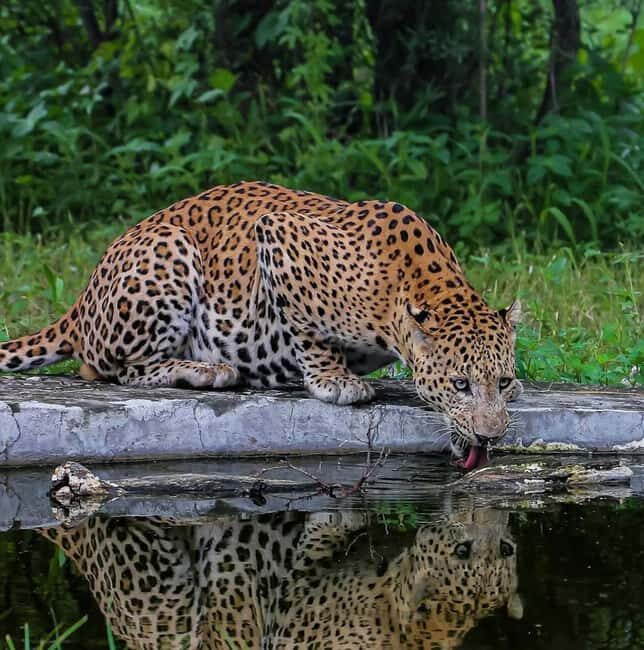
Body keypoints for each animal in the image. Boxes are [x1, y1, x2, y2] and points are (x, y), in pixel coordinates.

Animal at [0, 181, 521, 466]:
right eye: (460, 384)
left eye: (503, 381)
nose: (491, 436)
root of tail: (81, 299)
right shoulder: (279, 233)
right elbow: (308, 330)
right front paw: (334, 380)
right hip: (168, 249)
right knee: (113, 369)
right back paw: (206, 370)